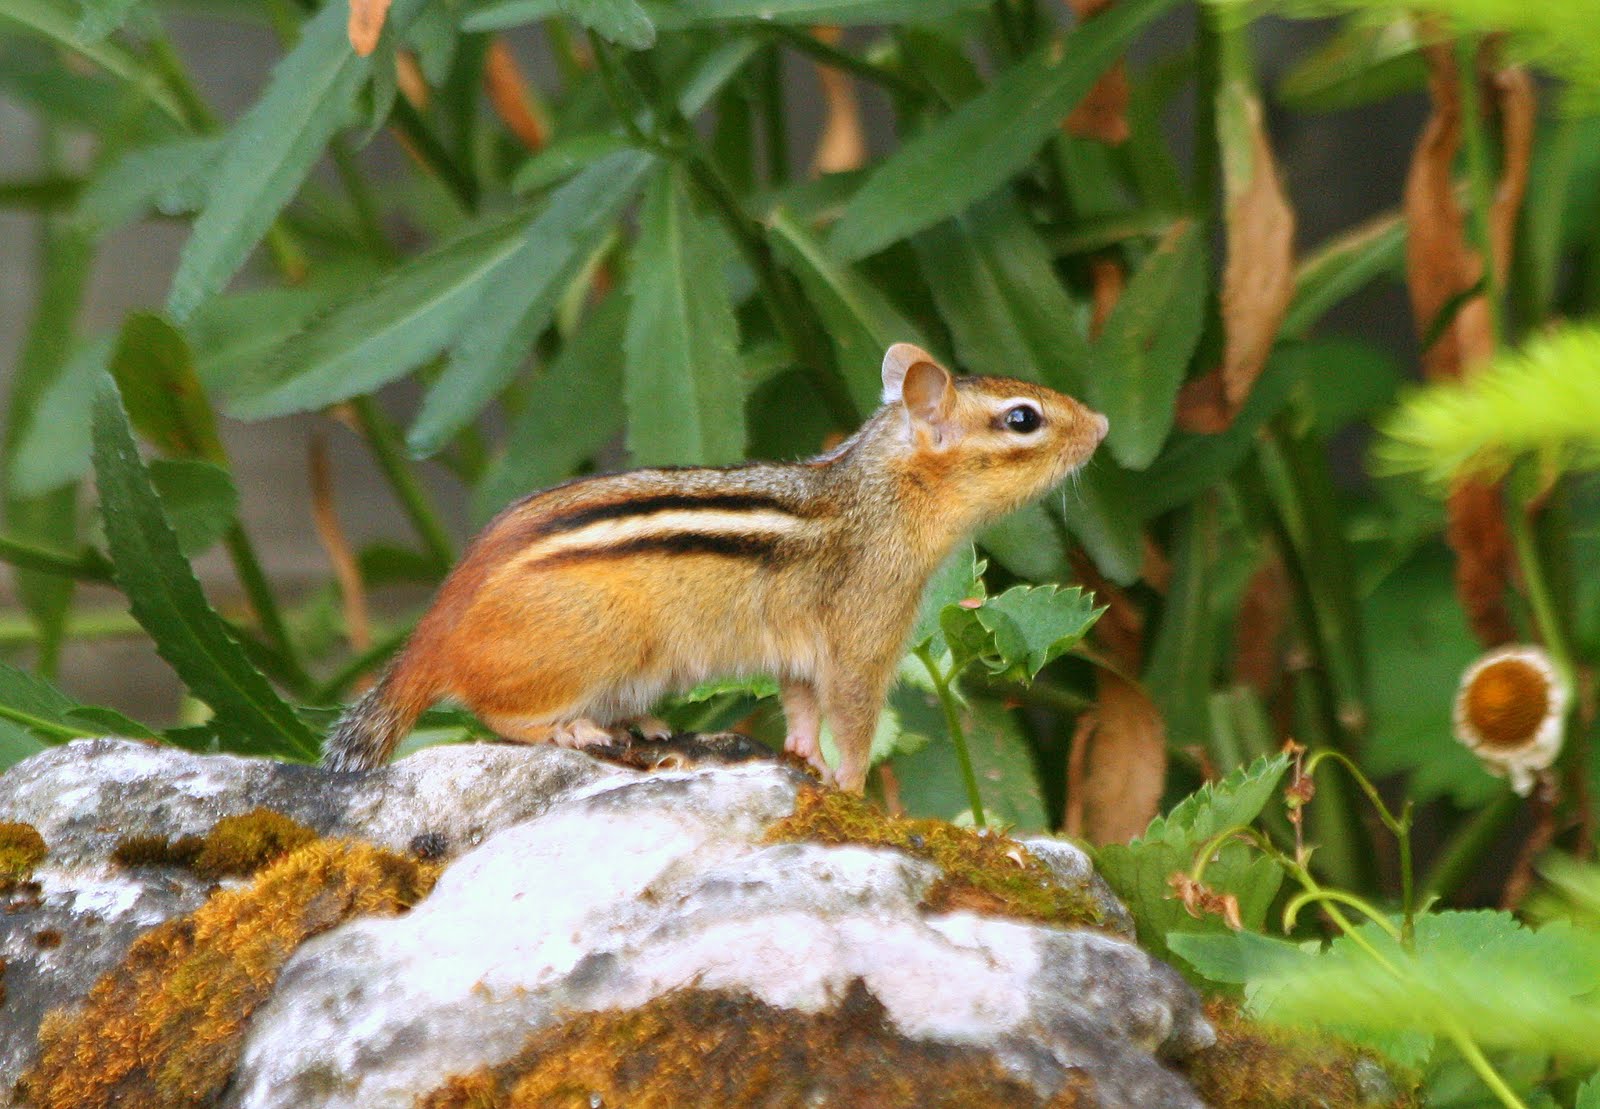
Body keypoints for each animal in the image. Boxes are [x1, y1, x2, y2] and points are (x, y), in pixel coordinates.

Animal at [322, 343, 1108, 791]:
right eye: (1023, 419)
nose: (1102, 425)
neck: (878, 494)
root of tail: (435, 628)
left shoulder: (798, 650)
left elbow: (801, 705)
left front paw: (804, 758)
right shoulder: (863, 638)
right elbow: (853, 716)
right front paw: (851, 784)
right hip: (594, 642)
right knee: (497, 713)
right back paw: (572, 730)